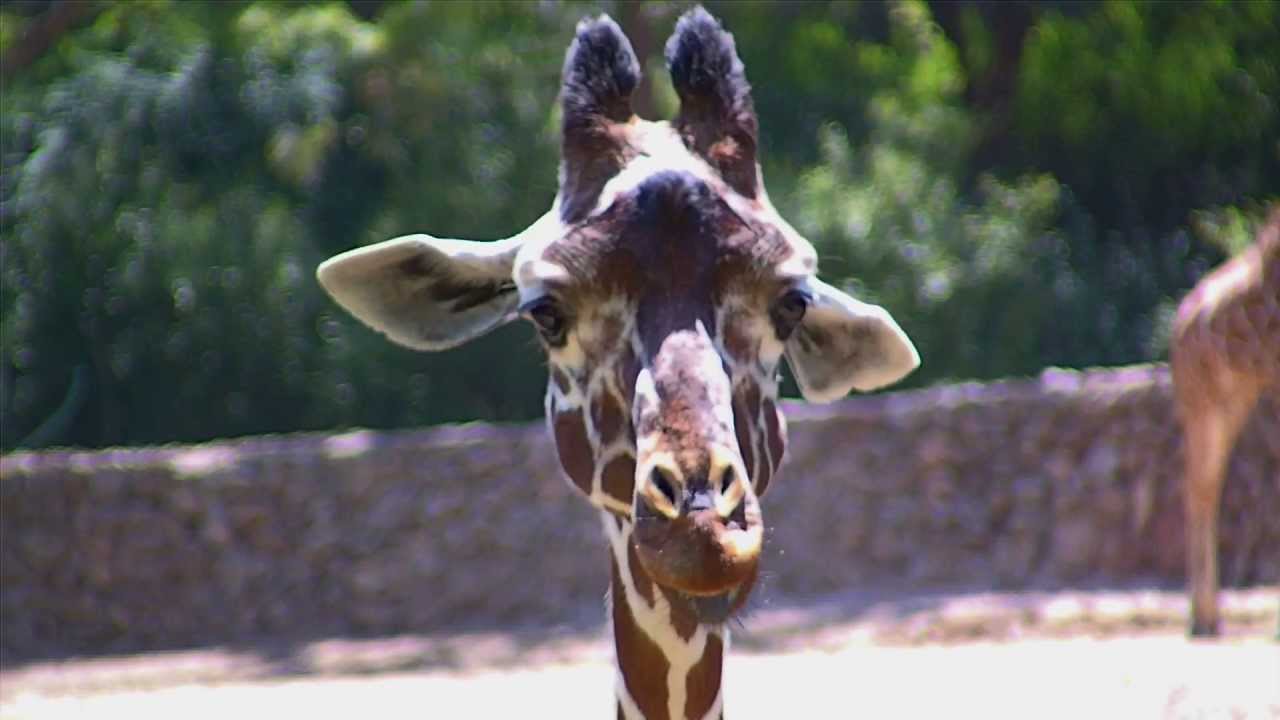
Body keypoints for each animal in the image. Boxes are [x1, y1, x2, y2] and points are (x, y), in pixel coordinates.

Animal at [1170, 208, 1279, 637]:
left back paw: (1206, 617)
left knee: (1205, 486)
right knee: (1199, 488)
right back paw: (1204, 619)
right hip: (1207, 400)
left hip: (1235, 398)